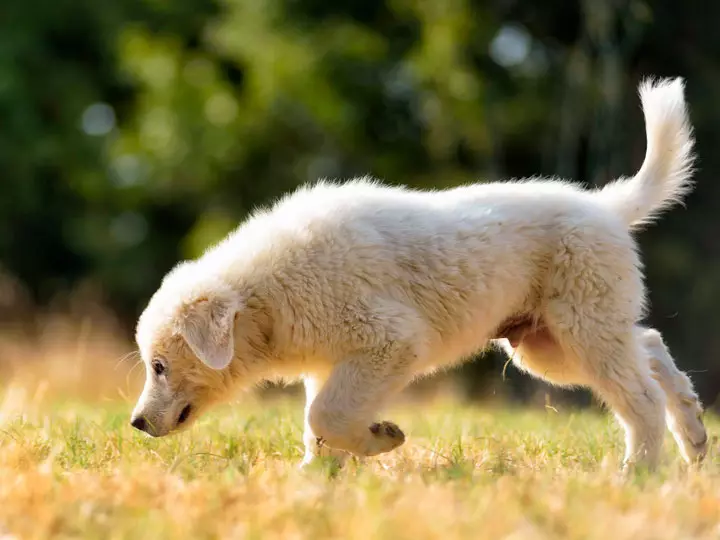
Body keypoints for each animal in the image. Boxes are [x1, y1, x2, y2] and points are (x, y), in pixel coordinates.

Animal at [131, 78, 708, 470]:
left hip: (582, 327)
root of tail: (606, 208)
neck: (266, 297)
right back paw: (696, 434)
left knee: (641, 398)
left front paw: (380, 439)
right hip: (552, 345)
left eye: (159, 366)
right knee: (649, 345)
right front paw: (318, 477)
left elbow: (325, 416)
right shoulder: (334, 363)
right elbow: (319, 420)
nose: (135, 423)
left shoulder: (389, 341)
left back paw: (638, 473)